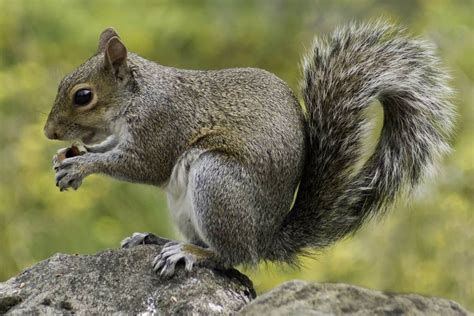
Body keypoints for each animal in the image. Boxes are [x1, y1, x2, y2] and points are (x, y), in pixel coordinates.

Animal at [45, 21, 456, 276]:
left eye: (83, 96)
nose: (49, 132)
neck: (138, 95)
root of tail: (265, 238)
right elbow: (112, 147)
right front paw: (70, 156)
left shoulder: (161, 125)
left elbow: (142, 165)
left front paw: (81, 166)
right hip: (187, 205)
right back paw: (157, 239)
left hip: (216, 182)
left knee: (232, 257)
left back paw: (190, 253)